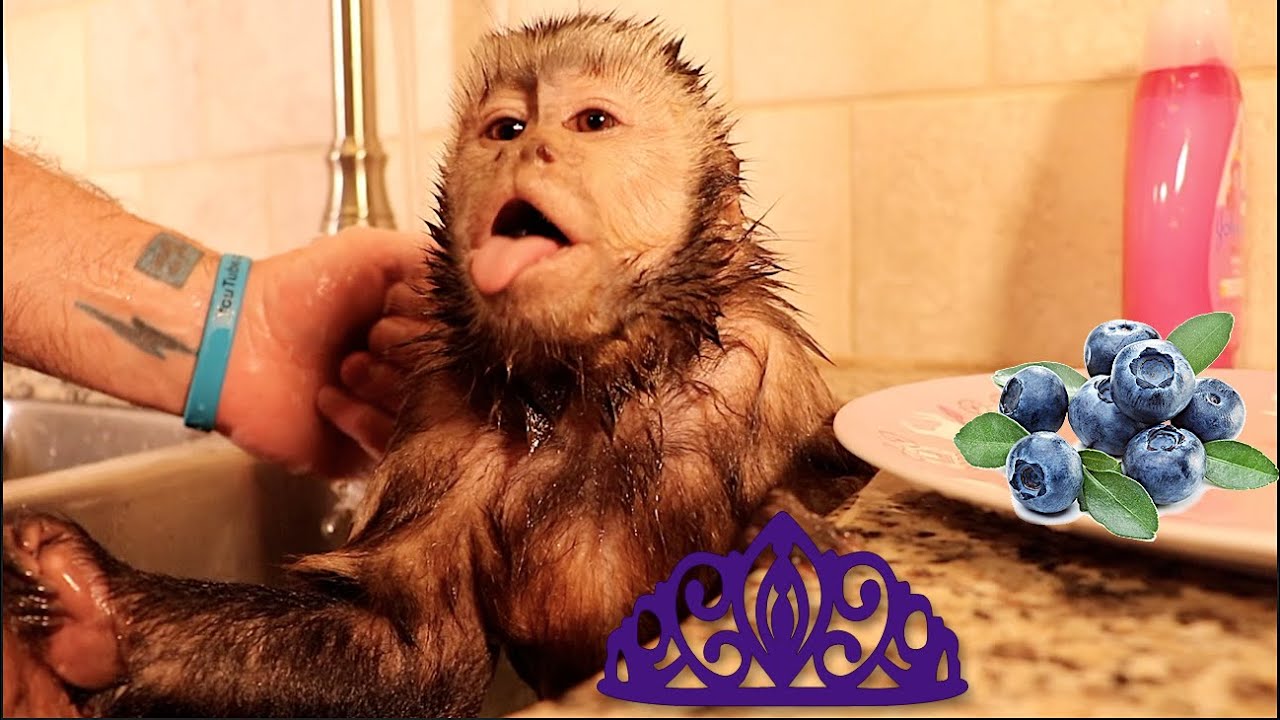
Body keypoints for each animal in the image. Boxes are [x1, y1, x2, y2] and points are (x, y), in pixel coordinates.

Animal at [2, 13, 874, 718]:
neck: (597, 390)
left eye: (592, 120)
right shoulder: (445, 428)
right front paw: (96, 609)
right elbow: (408, 651)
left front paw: (777, 544)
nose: (533, 147)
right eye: (506, 127)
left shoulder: (763, 380)